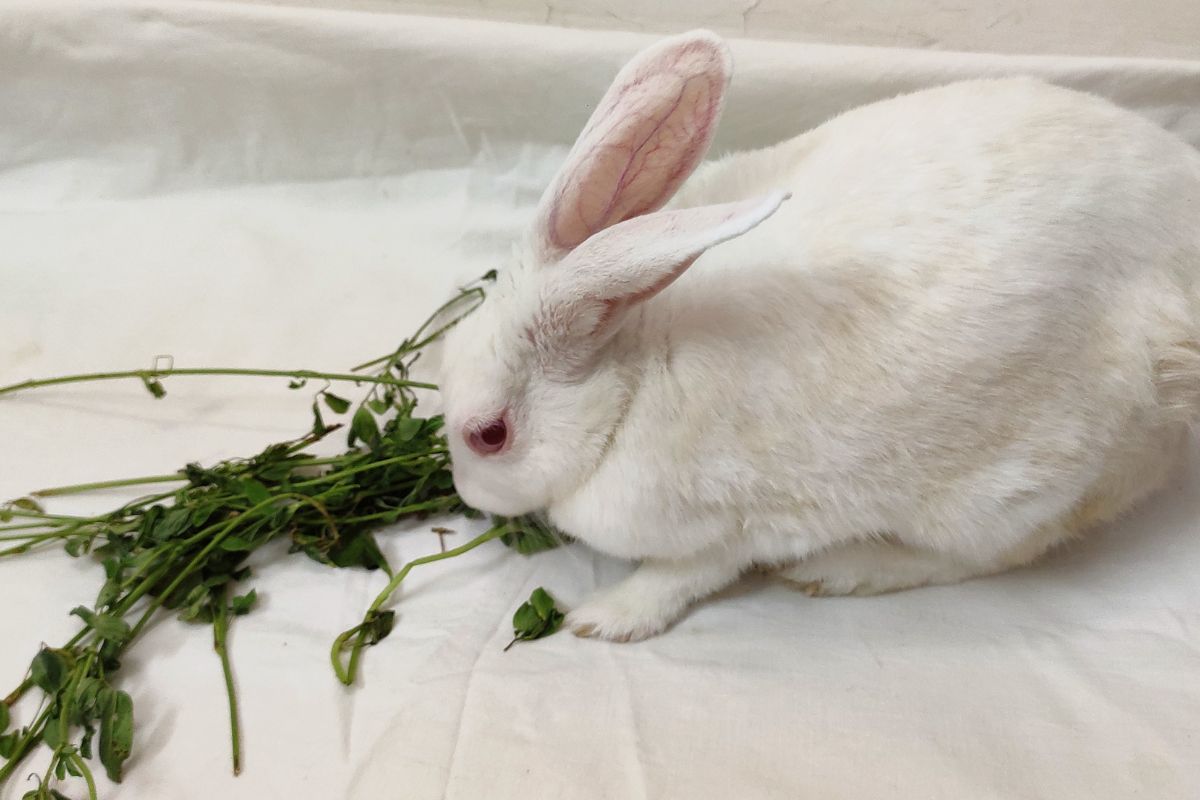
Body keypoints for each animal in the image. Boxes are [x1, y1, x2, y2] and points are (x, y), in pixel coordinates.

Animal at [437, 29, 1200, 641]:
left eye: (490, 435)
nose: (469, 495)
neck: (631, 374)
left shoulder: (725, 527)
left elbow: (681, 577)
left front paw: (603, 618)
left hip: (1025, 484)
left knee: (992, 552)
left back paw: (844, 569)